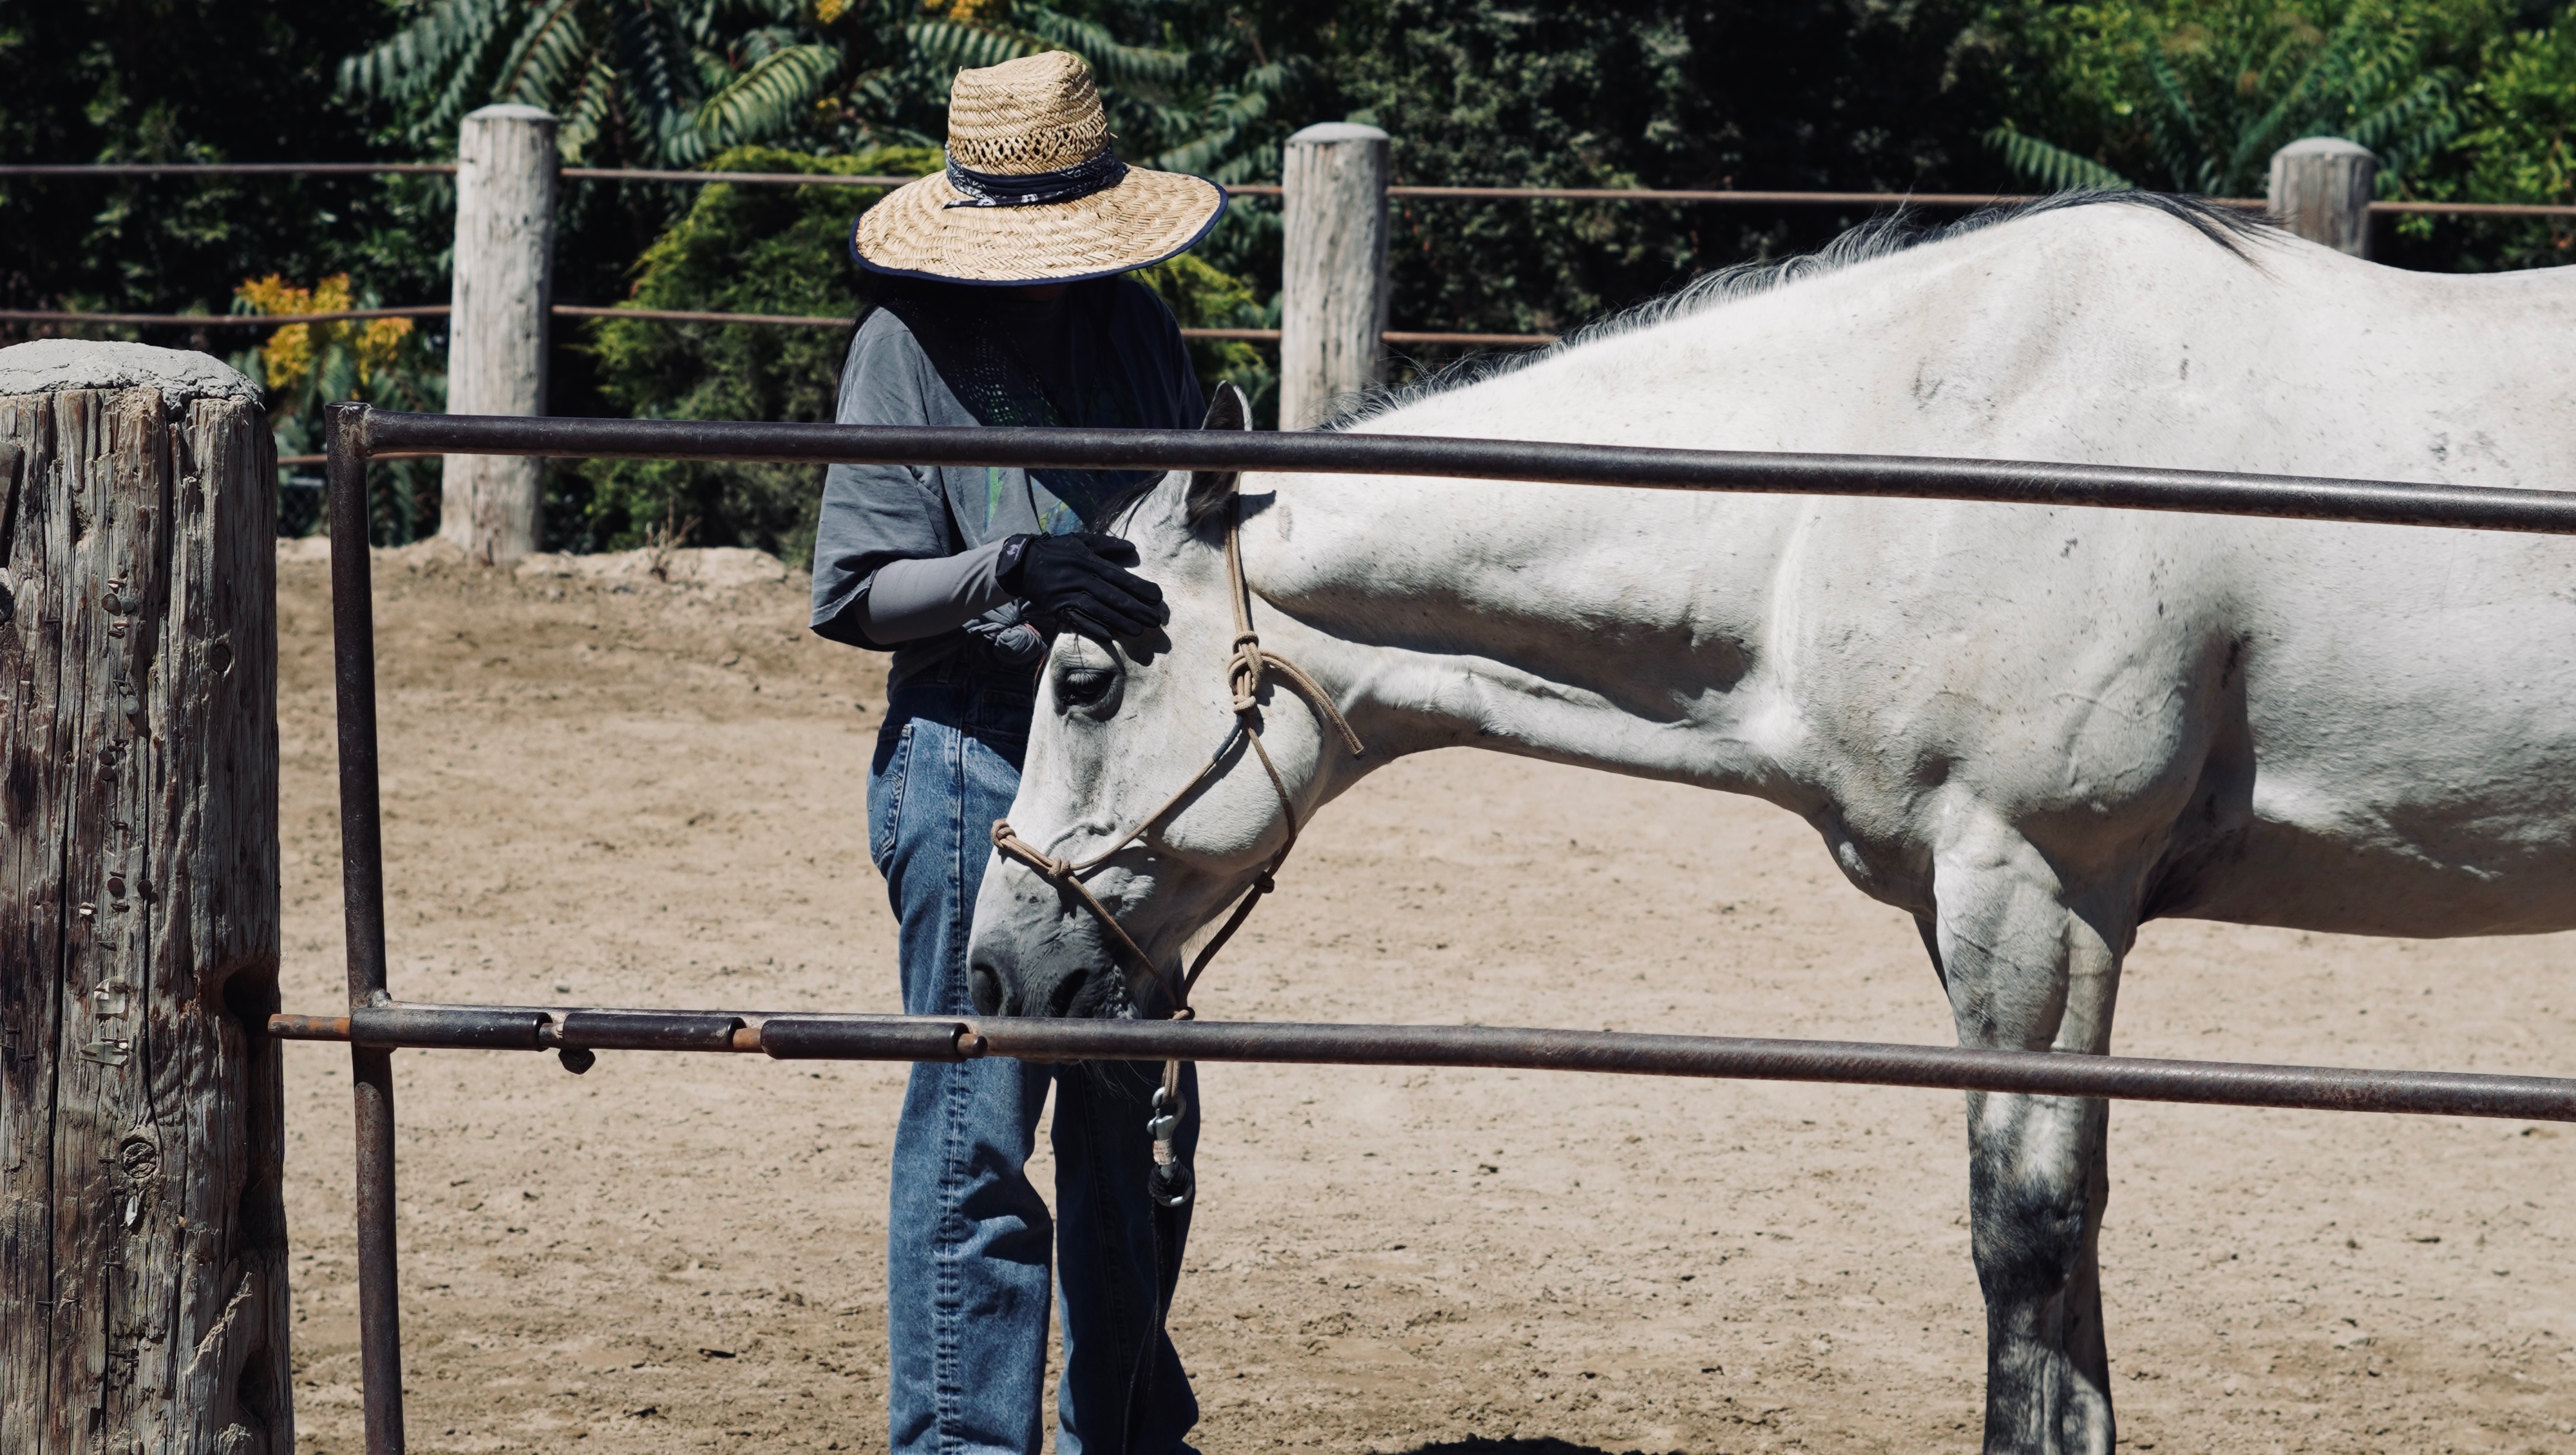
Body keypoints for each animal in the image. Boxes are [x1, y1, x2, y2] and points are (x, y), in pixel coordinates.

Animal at [962, 193, 2576, 1454]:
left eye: (1086, 680)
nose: (997, 969)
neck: (1895, 462)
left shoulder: (2037, 885)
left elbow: (2028, 1228)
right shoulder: (1989, 906)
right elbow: (2074, 1242)